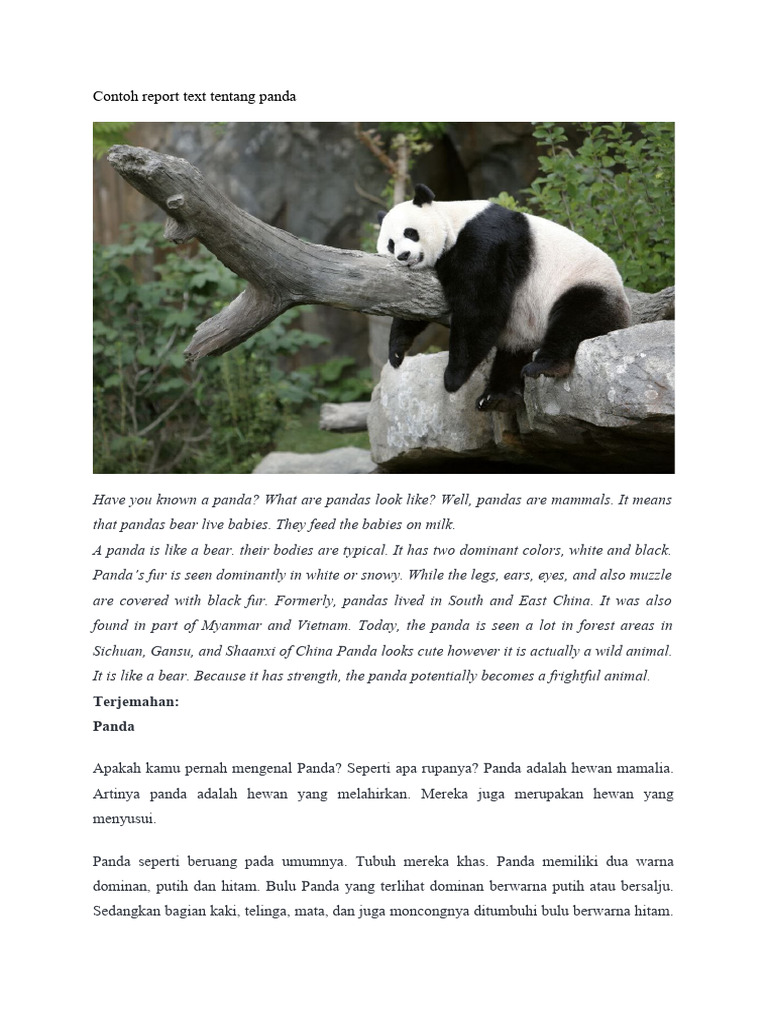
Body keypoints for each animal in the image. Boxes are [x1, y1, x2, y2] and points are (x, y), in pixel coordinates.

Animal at [376, 184, 631, 411]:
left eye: (410, 232)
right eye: (390, 244)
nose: (403, 255)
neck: (453, 222)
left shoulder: (484, 241)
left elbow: (479, 307)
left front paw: (452, 378)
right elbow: (414, 304)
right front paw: (397, 351)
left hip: (585, 284)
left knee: (574, 320)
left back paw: (544, 366)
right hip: (523, 328)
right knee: (512, 353)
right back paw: (497, 396)